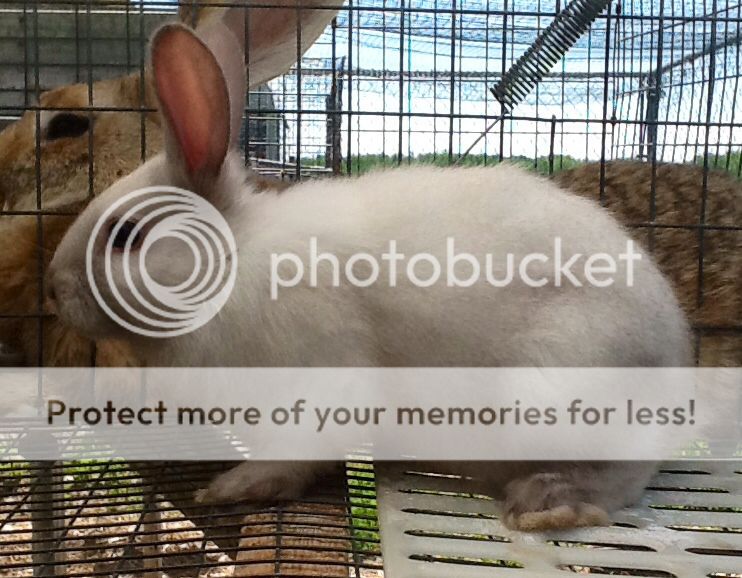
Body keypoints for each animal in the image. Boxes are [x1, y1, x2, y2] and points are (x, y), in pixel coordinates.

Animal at [45, 22, 692, 531]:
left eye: (126, 236)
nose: (55, 290)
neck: (233, 264)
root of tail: (674, 359)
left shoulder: (319, 380)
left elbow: (293, 454)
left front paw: (233, 488)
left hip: (554, 391)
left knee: (624, 475)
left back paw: (546, 501)